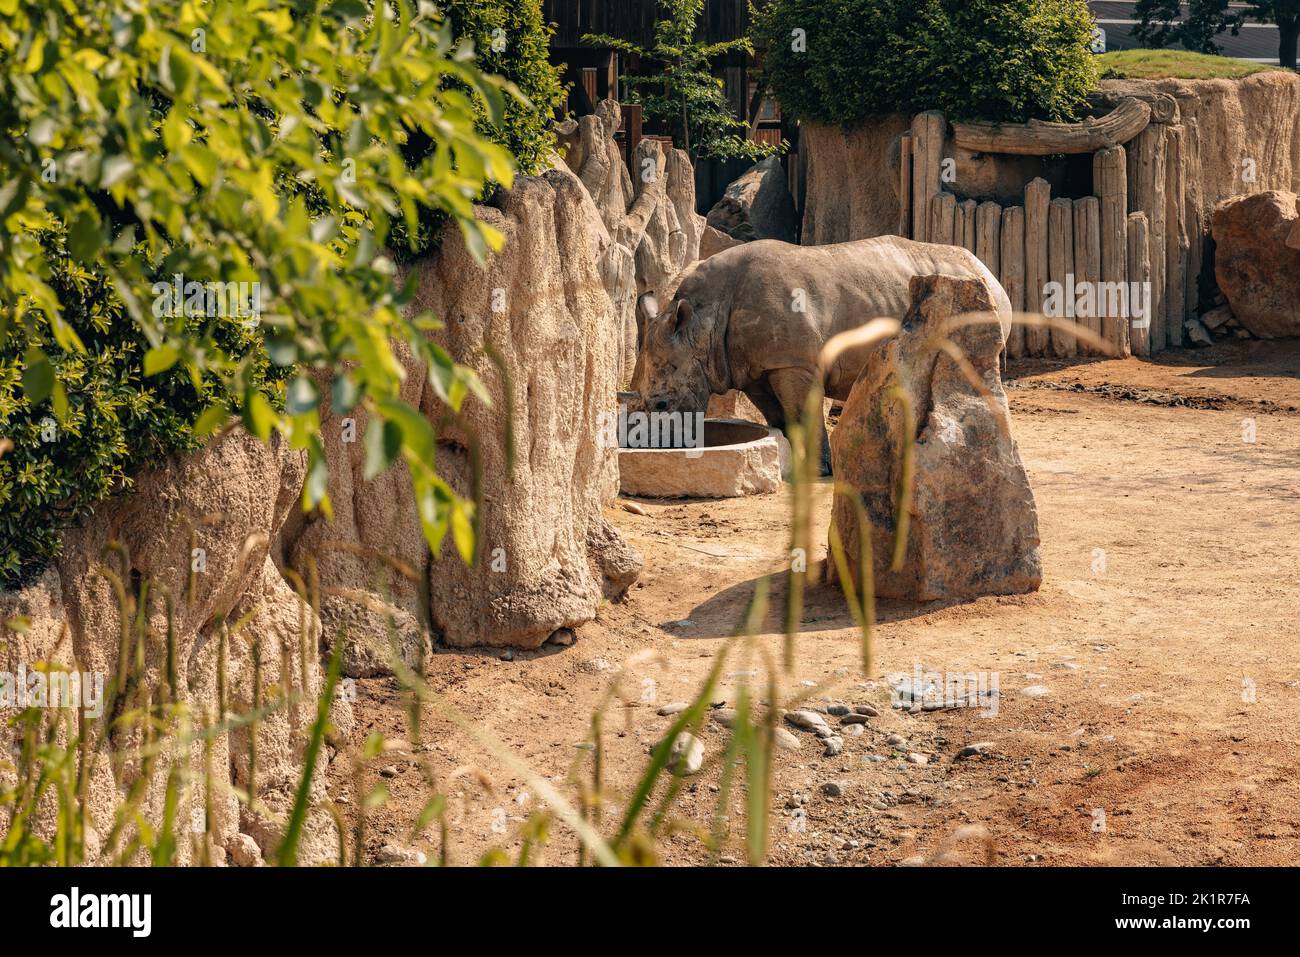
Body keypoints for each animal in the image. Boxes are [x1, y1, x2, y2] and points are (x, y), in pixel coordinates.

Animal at [628, 235, 1012, 473]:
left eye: (661, 404)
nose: (664, 445)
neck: (700, 321)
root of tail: (985, 267)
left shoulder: (794, 363)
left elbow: (804, 412)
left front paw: (819, 470)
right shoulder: (751, 368)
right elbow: (778, 417)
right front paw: (791, 460)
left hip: (978, 298)